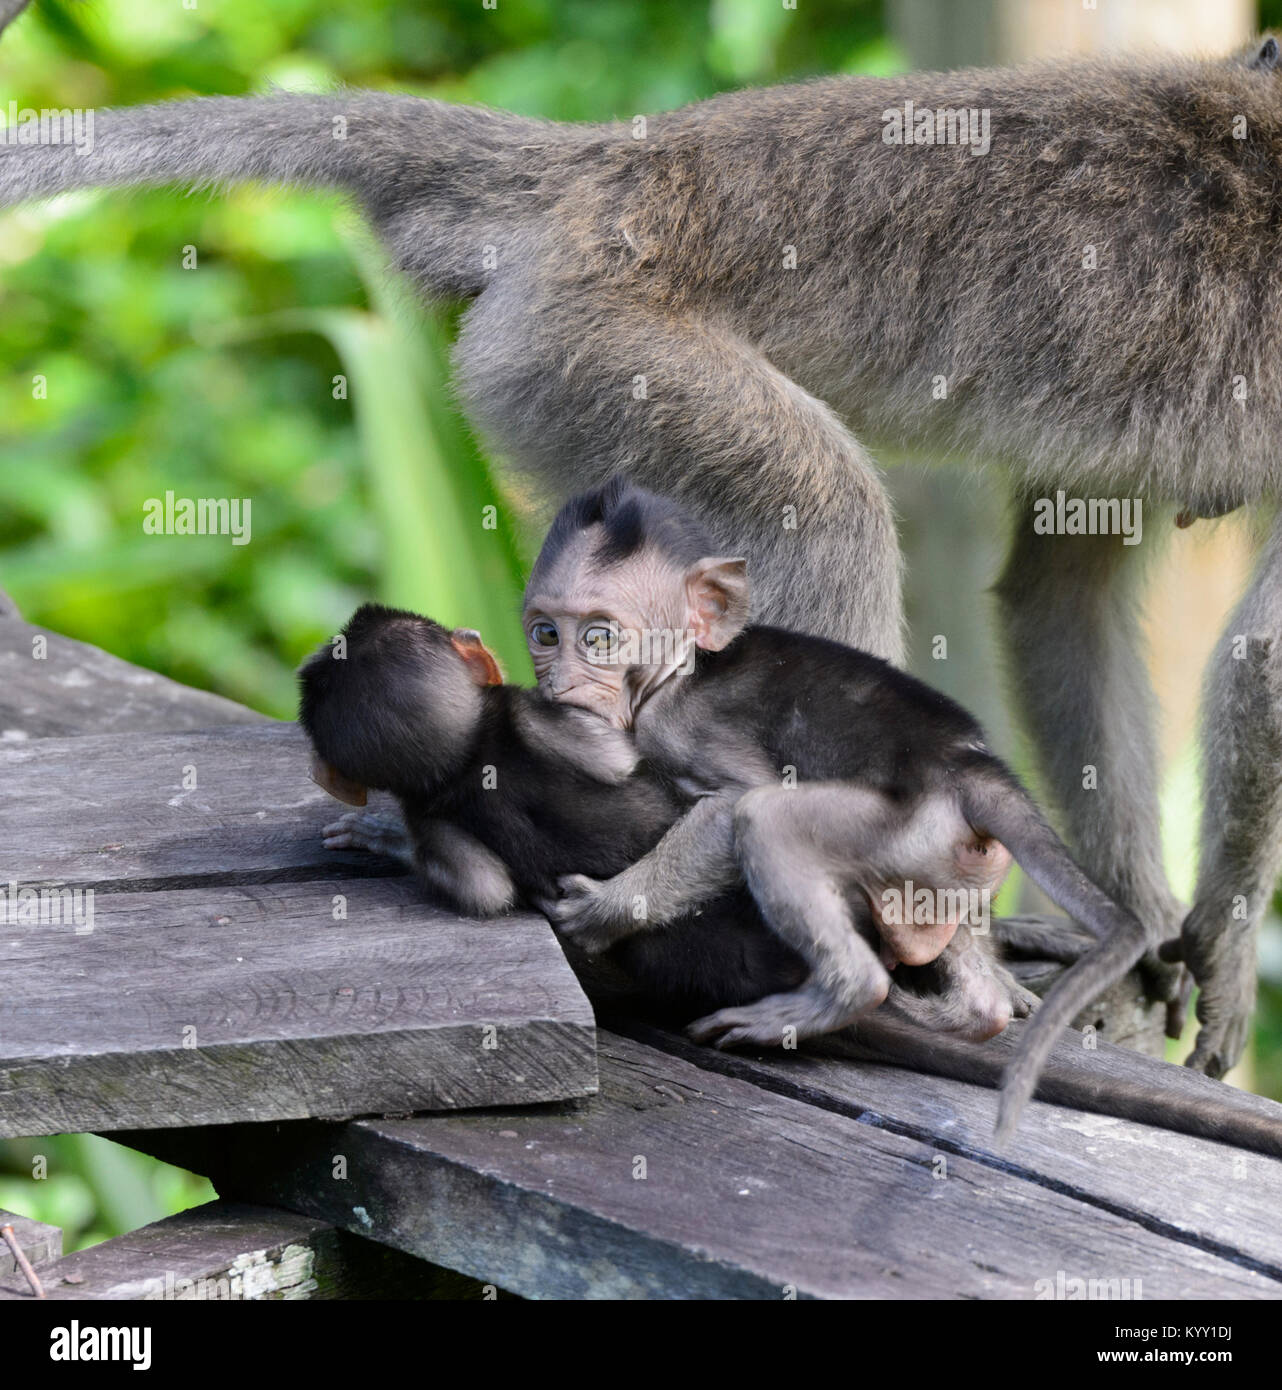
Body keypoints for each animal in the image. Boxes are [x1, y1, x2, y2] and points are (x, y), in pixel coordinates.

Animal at [7, 11, 1282, 1073]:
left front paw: (1142, 931)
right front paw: (1219, 947)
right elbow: (1262, 662)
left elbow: (1062, 584)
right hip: (598, 353)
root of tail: (610, 164)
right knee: (825, 511)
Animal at [297, 600, 1282, 1157]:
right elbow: (729, 804)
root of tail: (961, 765)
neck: (469, 750)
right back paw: (904, 994)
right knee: (773, 824)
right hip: (910, 834)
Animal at [524, 479, 1168, 1139]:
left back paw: (839, 1000)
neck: (678, 669)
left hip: (907, 829)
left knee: (767, 820)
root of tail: (963, 764)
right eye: (546, 635)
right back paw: (968, 1011)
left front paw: (607, 910)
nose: (560, 686)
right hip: (949, 862)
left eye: (599, 638)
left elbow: (735, 801)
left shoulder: (679, 723)